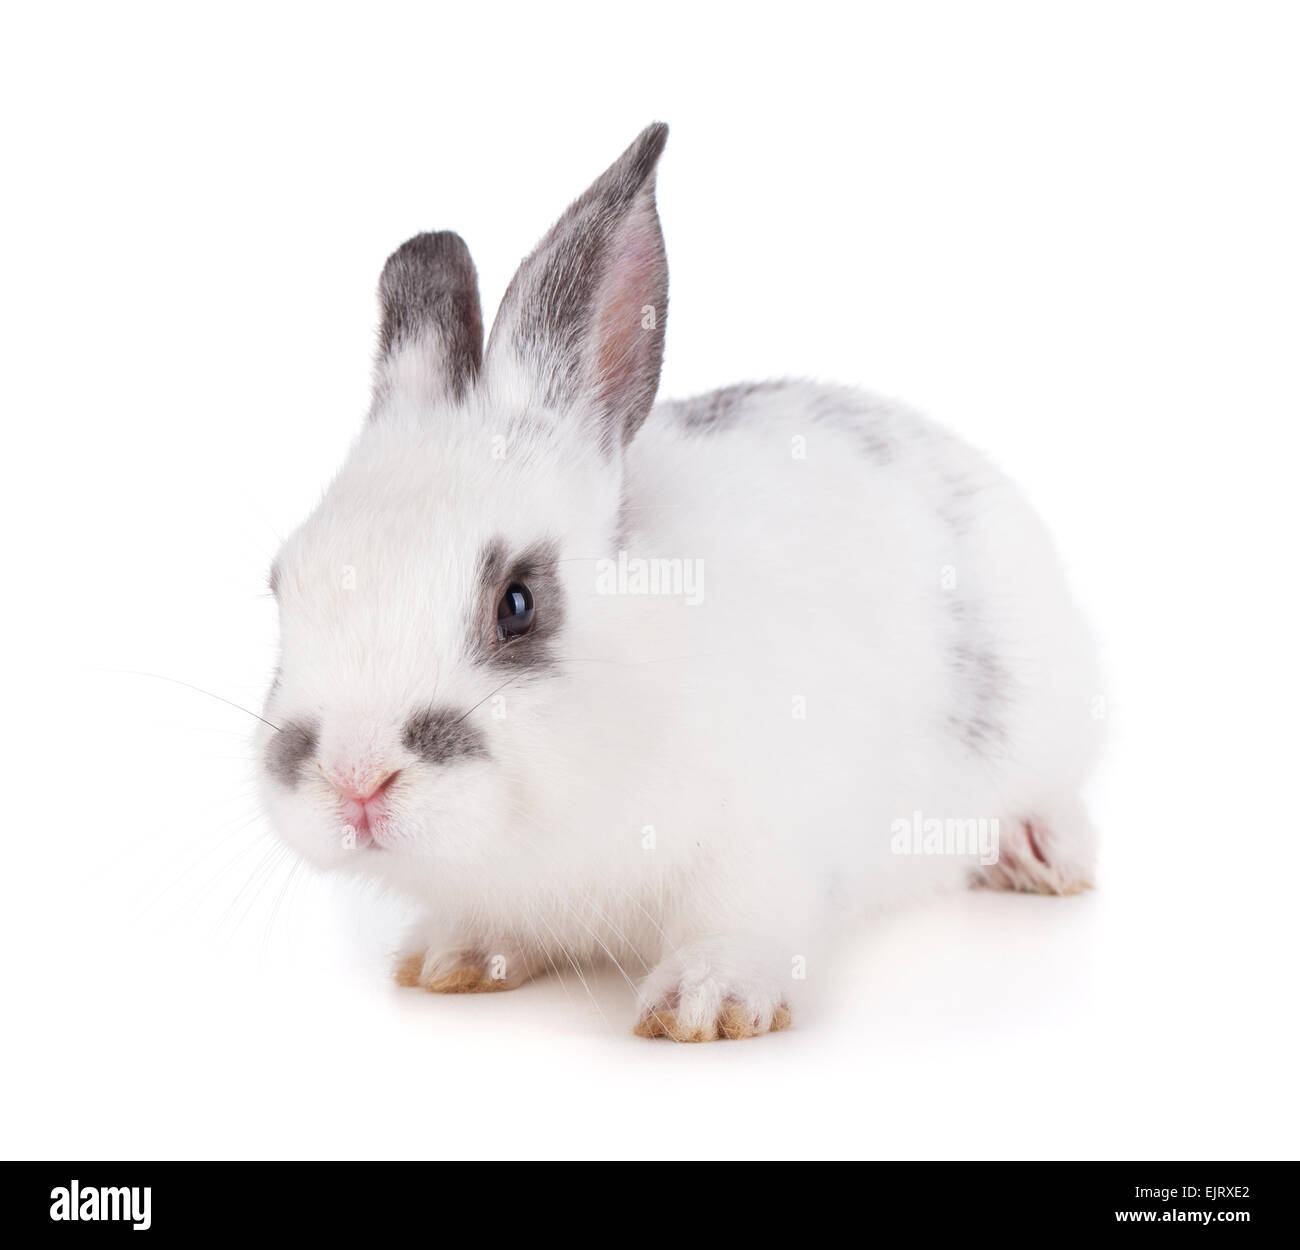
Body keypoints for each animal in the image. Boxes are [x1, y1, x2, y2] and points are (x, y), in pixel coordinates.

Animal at [259, 122, 1103, 1042]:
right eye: (281, 587)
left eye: (518, 604)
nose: (354, 782)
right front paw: (457, 958)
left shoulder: (767, 842)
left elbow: (737, 920)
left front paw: (706, 1002)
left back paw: (1042, 855)